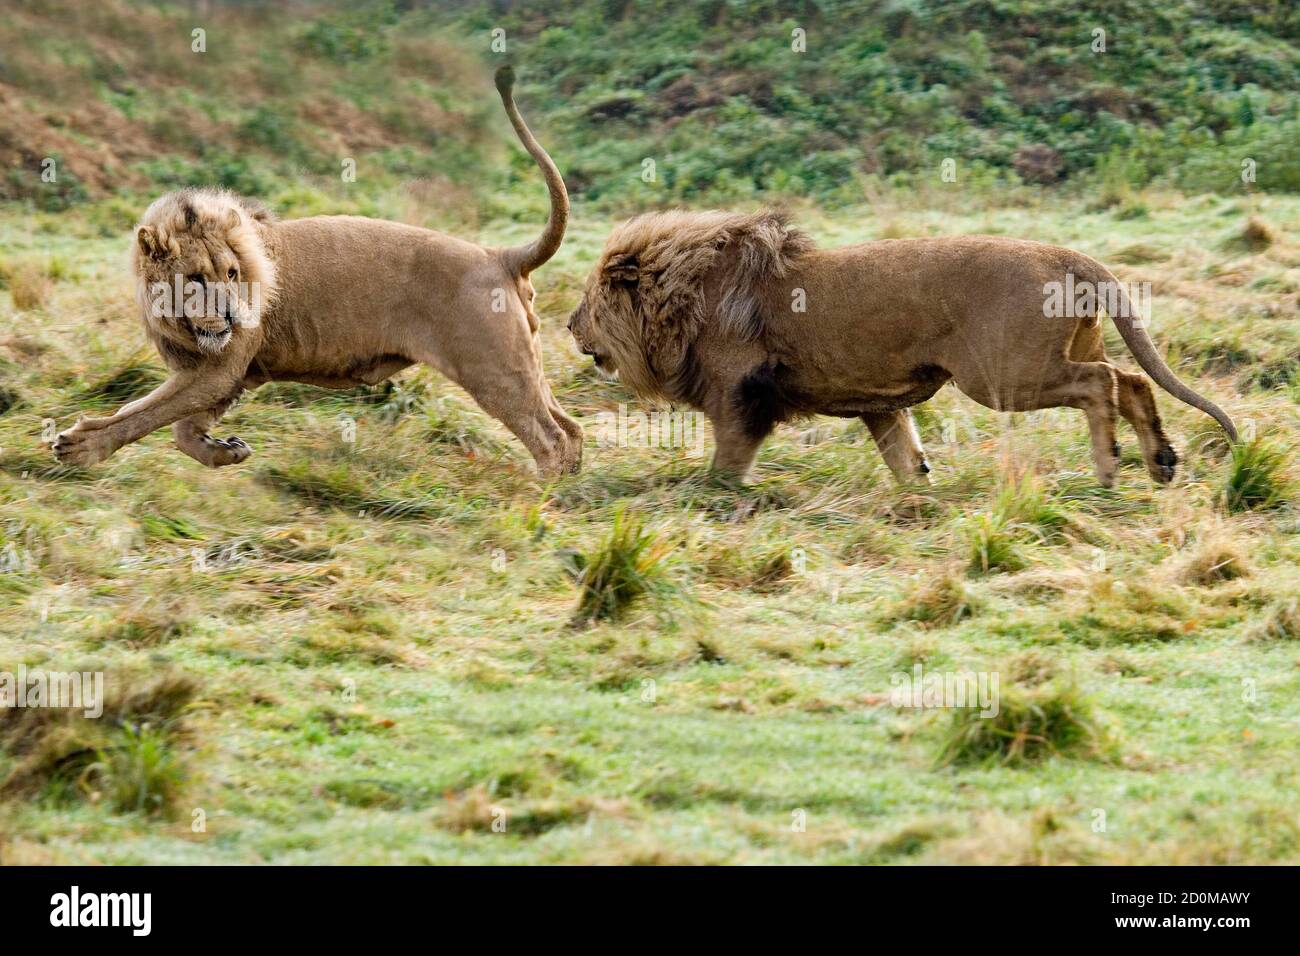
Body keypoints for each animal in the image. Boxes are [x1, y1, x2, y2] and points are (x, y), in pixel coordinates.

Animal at [52, 66, 582, 476]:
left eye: (231, 274)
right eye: (198, 279)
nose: (232, 318)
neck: (179, 322)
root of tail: (500, 254)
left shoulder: (218, 368)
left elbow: (142, 412)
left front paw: (79, 446)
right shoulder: (231, 373)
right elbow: (184, 428)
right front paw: (226, 452)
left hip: (493, 369)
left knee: (551, 437)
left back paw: (538, 499)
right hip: (524, 363)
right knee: (571, 428)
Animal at [566, 209, 1238, 486]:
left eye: (590, 300)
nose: (569, 326)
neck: (682, 300)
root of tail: (1068, 254)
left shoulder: (740, 394)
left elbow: (726, 464)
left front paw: (716, 497)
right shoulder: (877, 401)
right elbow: (905, 457)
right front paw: (919, 493)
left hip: (1002, 376)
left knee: (1104, 383)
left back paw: (1108, 469)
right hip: (1057, 353)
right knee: (1133, 379)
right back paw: (1161, 462)